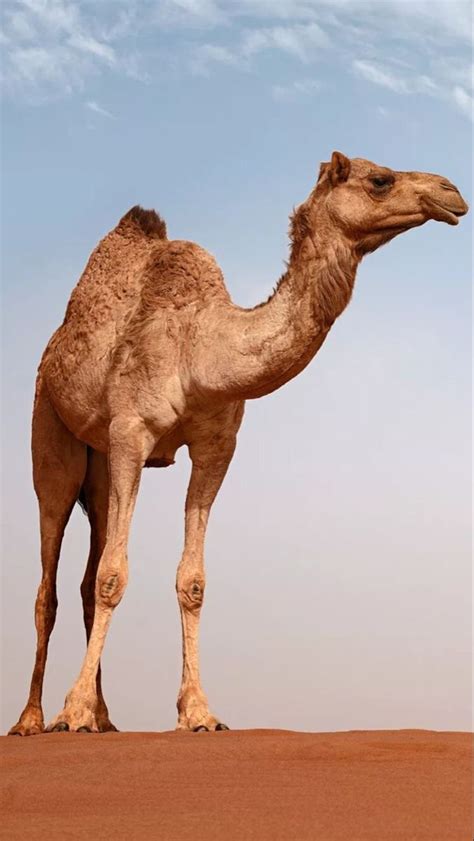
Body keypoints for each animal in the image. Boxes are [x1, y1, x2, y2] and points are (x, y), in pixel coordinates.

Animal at [9, 152, 468, 736]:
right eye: (379, 180)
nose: (452, 193)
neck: (201, 349)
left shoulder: (216, 447)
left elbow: (190, 580)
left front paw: (198, 713)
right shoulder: (131, 432)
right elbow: (115, 575)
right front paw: (72, 713)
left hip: (100, 464)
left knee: (89, 574)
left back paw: (106, 718)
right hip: (52, 431)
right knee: (49, 578)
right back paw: (32, 719)